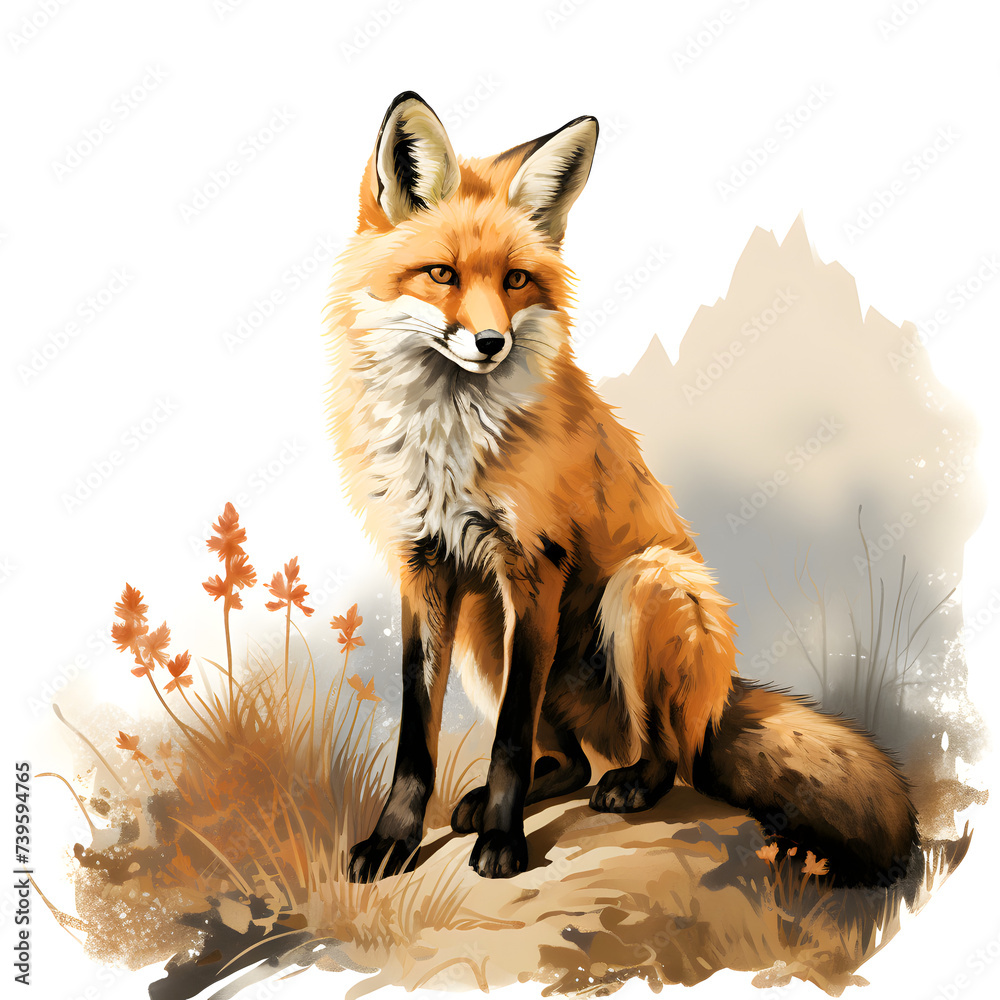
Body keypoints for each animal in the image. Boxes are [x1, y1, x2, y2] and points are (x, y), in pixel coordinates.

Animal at [325, 91, 918, 886]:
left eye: (516, 281)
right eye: (442, 274)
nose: (492, 344)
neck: (448, 441)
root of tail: (723, 693)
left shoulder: (534, 563)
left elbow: (508, 739)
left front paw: (505, 846)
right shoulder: (423, 567)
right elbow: (417, 739)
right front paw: (393, 840)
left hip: (644, 586)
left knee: (667, 754)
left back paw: (630, 783)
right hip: (486, 627)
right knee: (567, 760)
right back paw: (514, 793)